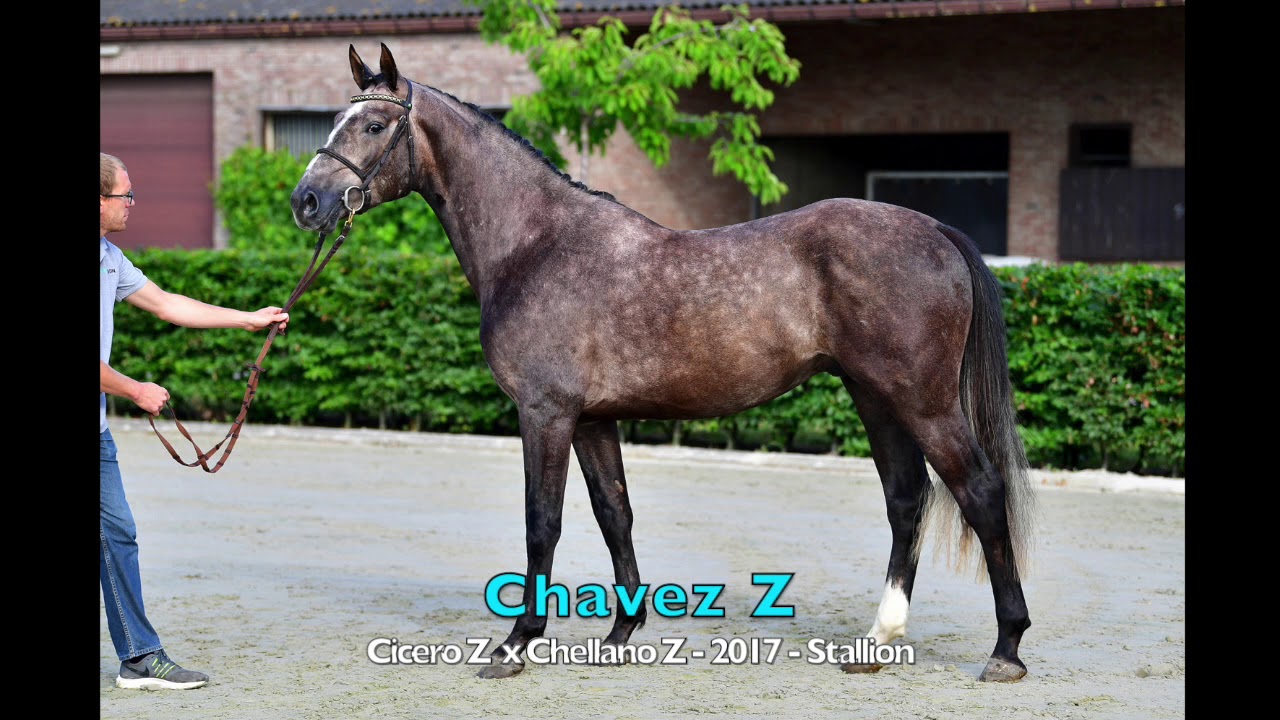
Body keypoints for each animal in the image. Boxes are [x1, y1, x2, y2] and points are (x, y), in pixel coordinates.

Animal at [291, 43, 1037, 682]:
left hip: (922, 400)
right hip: (876, 396)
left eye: (375, 123)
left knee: (979, 491)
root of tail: (932, 228)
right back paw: (878, 640)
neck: (536, 245)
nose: (308, 202)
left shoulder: (545, 414)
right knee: (906, 500)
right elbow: (613, 513)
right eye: (336, 120)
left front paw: (516, 644)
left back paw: (1006, 648)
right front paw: (622, 633)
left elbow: (542, 521)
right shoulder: (592, 420)